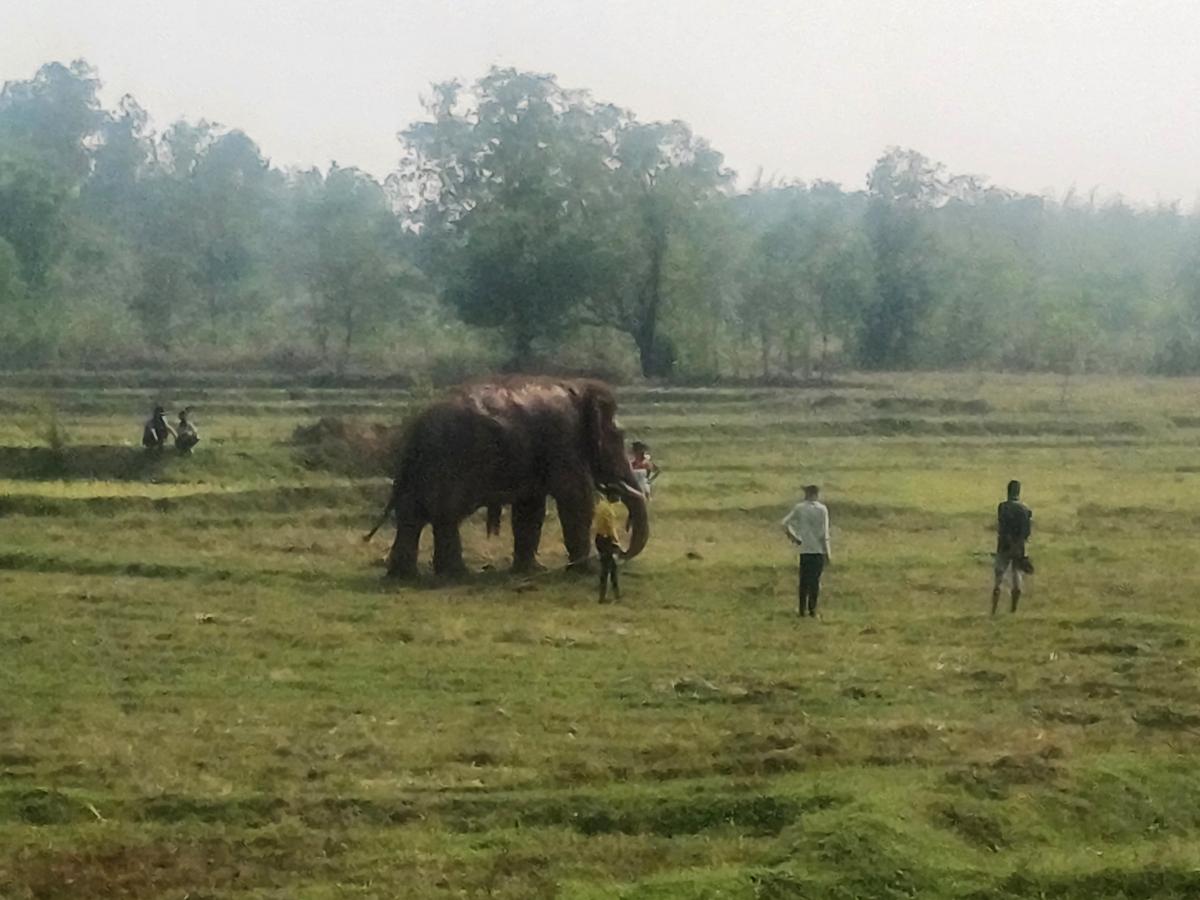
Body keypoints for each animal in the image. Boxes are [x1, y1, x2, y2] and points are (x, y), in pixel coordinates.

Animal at [367, 377, 649, 577]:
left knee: (413, 514)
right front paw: (582, 571)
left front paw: (531, 570)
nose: (619, 550)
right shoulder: (563, 440)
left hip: (423, 467)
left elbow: (530, 508)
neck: (577, 387)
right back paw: (454, 574)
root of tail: (416, 428)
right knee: (445, 514)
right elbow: (575, 497)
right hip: (448, 462)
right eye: (618, 436)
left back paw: (405, 576)